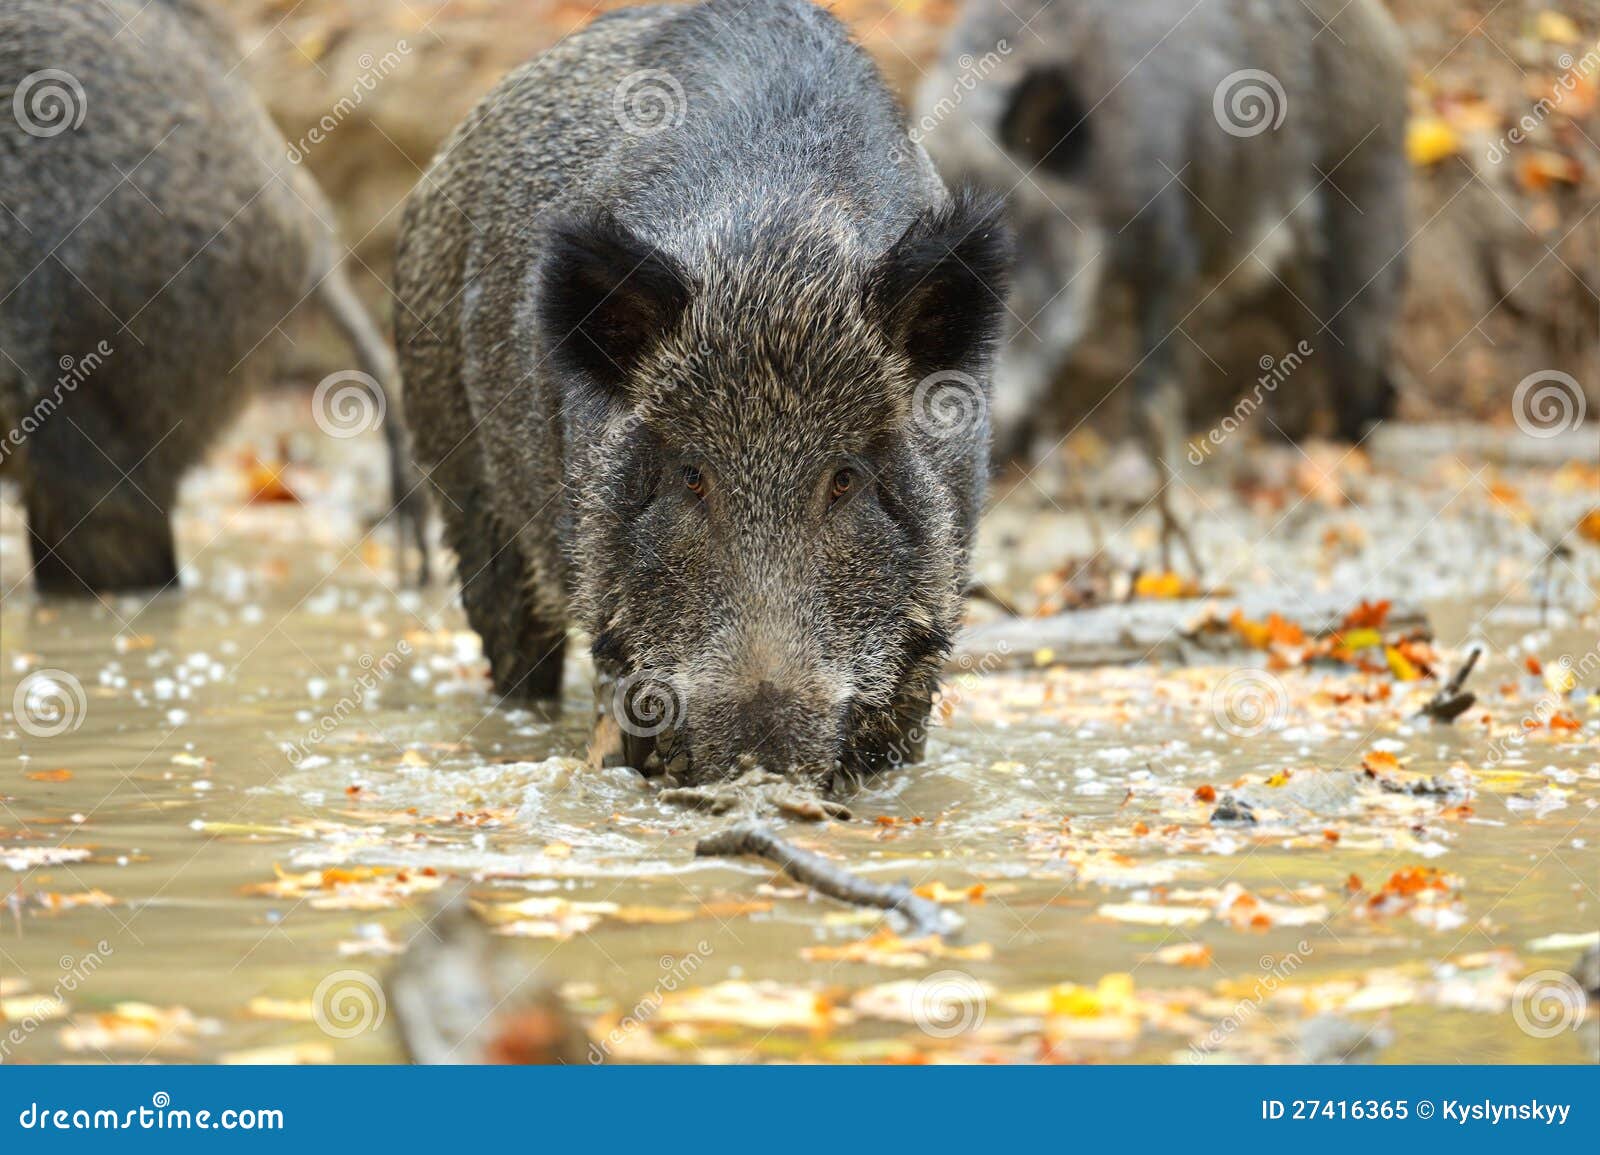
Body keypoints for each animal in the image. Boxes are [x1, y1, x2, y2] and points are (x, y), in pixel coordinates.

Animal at [394, 0, 1012, 785]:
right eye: (692, 474)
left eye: (844, 478)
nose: (760, 753)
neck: (777, 251)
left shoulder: (936, 602)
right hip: (462, 479)